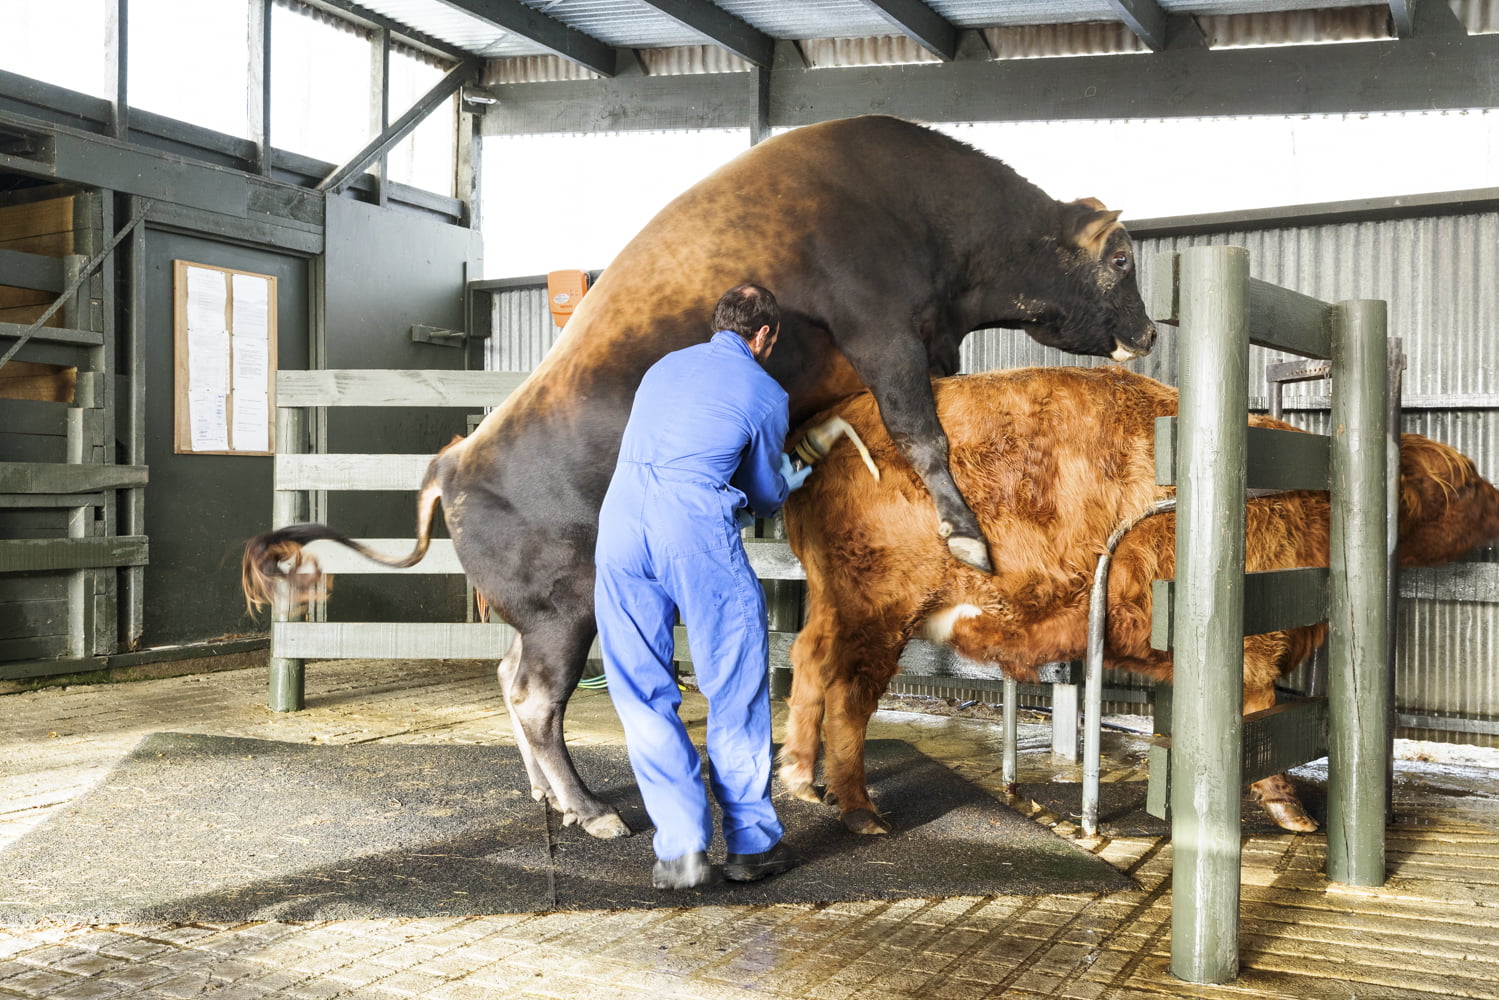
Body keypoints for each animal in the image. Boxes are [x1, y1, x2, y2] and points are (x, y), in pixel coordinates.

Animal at [241, 115, 1156, 840]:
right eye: (1119, 259)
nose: (1148, 332)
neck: (924, 212)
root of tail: (454, 459)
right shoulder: (885, 332)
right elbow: (919, 430)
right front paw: (964, 534)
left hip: (532, 613)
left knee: (509, 683)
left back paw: (557, 799)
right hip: (566, 605)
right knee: (535, 699)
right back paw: (592, 809)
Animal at [777, 366, 1499, 835]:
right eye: (1464, 482)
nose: (1496, 498)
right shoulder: (1247, 644)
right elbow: (1257, 716)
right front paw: (1290, 813)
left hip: (839, 598)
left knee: (819, 667)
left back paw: (816, 788)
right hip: (878, 601)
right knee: (842, 687)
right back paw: (844, 803)